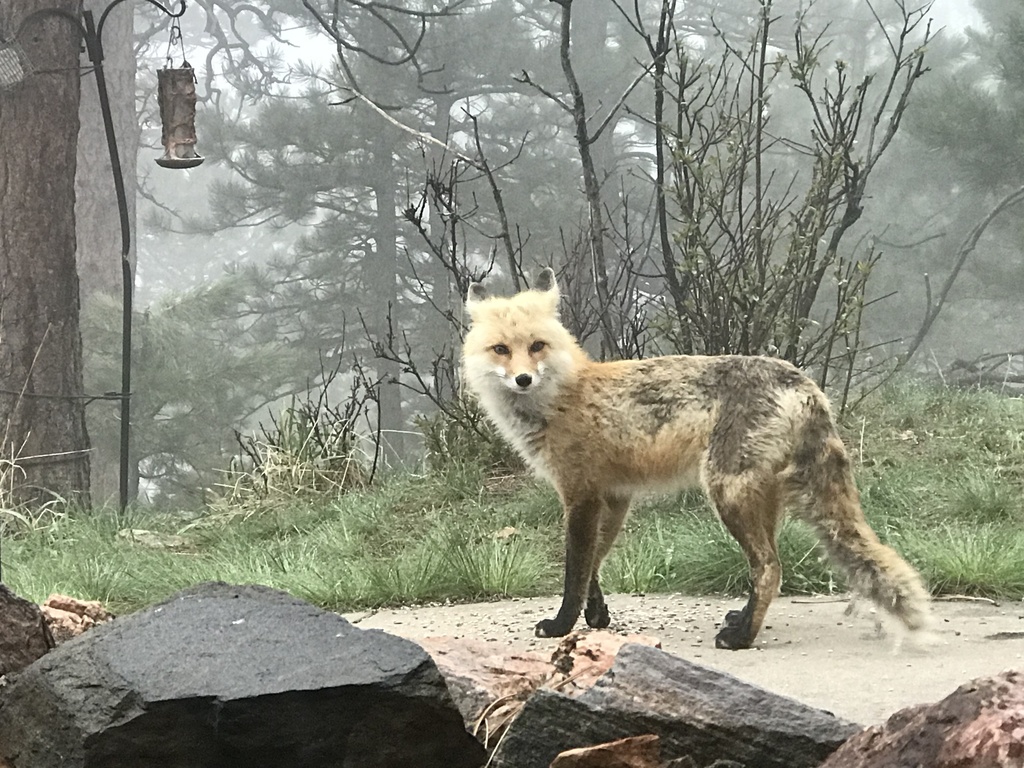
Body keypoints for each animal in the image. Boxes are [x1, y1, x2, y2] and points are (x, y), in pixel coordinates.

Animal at [461, 267, 932, 650]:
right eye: (501, 349)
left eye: (537, 346)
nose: (523, 379)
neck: (565, 395)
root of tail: (804, 382)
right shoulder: (613, 496)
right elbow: (594, 563)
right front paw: (597, 617)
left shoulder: (581, 494)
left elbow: (575, 571)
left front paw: (562, 625)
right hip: (760, 498)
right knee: (767, 568)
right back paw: (741, 620)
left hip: (727, 492)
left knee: (769, 569)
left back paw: (741, 638)